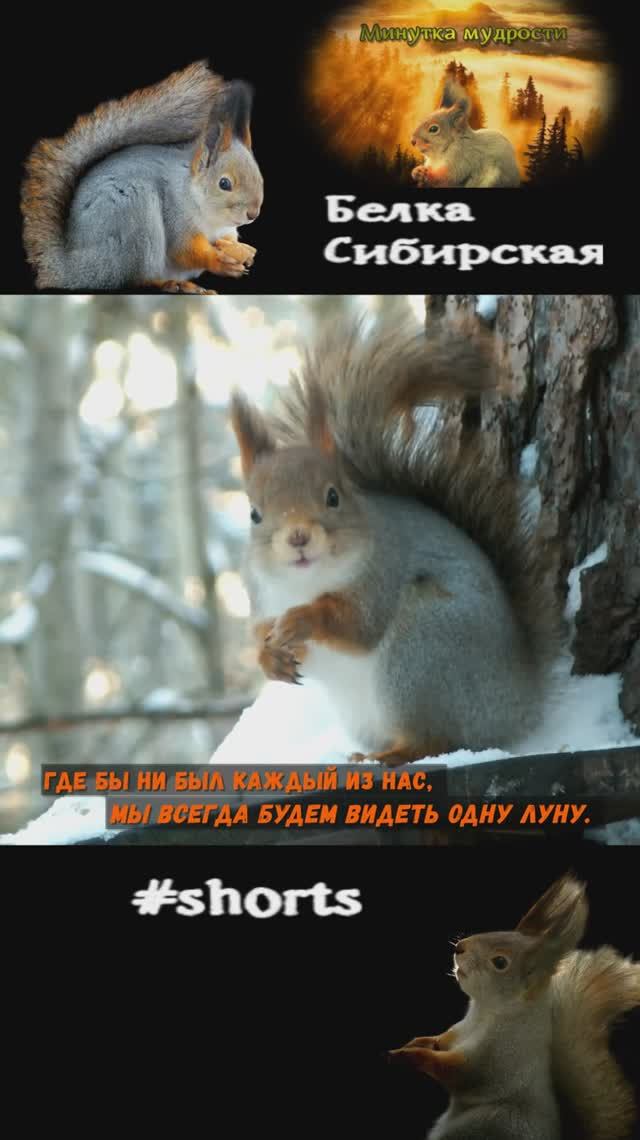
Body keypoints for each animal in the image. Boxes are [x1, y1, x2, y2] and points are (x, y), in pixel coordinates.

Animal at [21, 61, 264, 293]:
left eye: (260, 179)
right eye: (224, 183)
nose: (252, 214)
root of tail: (72, 267)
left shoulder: (225, 230)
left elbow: (227, 240)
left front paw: (241, 250)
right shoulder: (176, 216)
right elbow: (184, 250)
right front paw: (220, 262)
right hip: (135, 218)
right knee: (137, 278)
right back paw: (173, 285)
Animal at [229, 321, 560, 768]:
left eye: (334, 496)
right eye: (254, 514)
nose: (299, 537)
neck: (305, 582)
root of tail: (521, 700)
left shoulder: (381, 573)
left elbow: (357, 626)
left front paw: (303, 619)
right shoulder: (263, 602)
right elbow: (272, 640)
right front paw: (269, 658)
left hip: (421, 650)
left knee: (438, 739)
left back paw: (391, 756)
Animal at [389, 874, 640, 1140]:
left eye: (500, 962)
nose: (460, 947)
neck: (486, 1012)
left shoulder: (499, 1056)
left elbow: (459, 1073)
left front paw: (409, 1055)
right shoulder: (460, 1030)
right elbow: (441, 1040)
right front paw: (417, 1042)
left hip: (487, 1123)